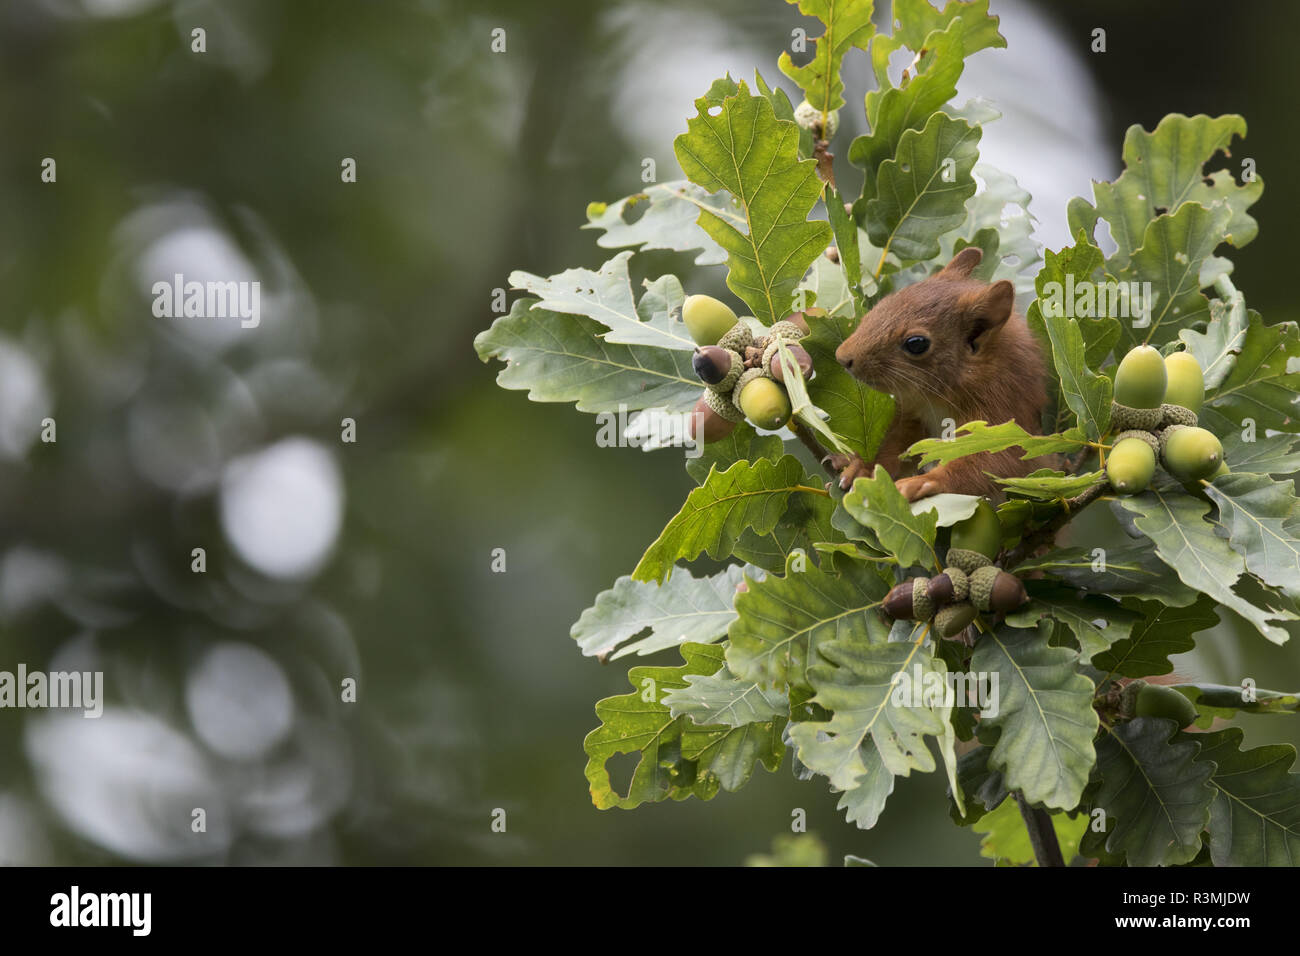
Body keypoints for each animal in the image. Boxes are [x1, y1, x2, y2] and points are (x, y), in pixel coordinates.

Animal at [831, 247, 1050, 501]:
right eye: (882, 304)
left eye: (916, 343)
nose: (842, 357)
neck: (938, 400)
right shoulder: (914, 417)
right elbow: (894, 440)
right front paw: (862, 466)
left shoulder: (1002, 419)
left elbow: (994, 462)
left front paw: (921, 482)